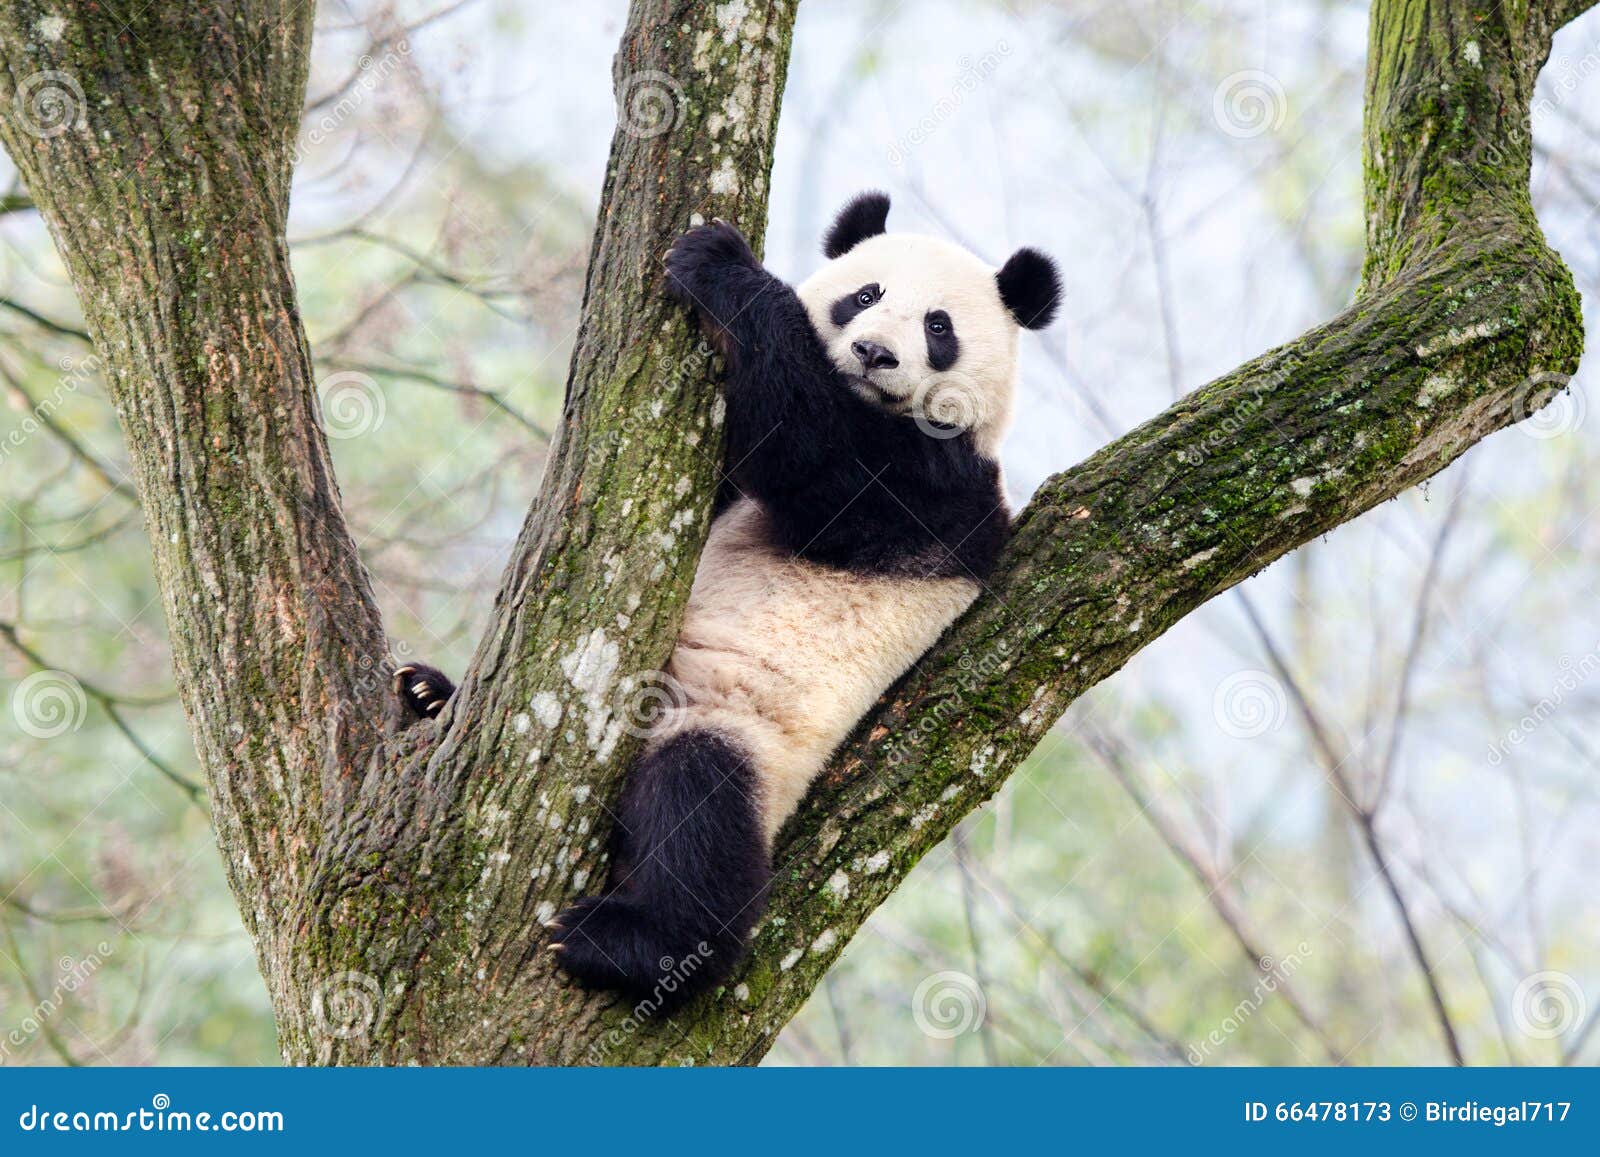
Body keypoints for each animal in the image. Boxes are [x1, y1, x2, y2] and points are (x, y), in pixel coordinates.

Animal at [395, 191, 1061, 1009]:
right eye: (864, 296)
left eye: (940, 328)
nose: (875, 353)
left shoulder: (934, 491)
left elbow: (810, 446)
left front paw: (721, 262)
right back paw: (431, 692)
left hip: (740, 731)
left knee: (700, 805)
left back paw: (634, 945)